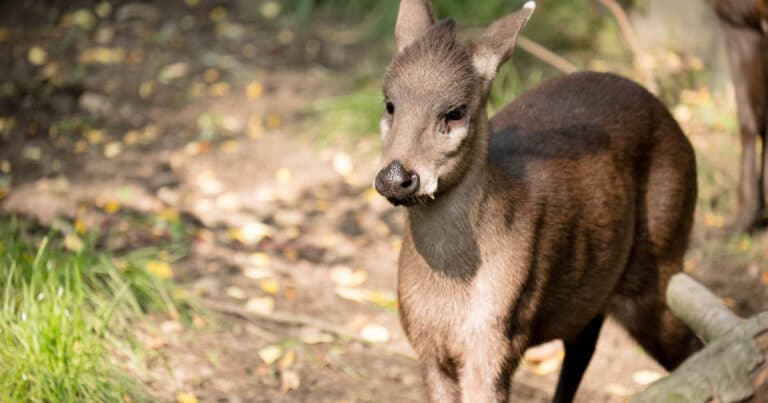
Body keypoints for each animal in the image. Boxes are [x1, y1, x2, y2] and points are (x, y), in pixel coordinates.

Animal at [373, 1, 702, 402]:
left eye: (455, 111)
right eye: (390, 103)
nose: (395, 177)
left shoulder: (498, 335)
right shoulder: (425, 344)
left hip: (661, 257)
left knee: (691, 347)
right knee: (583, 346)